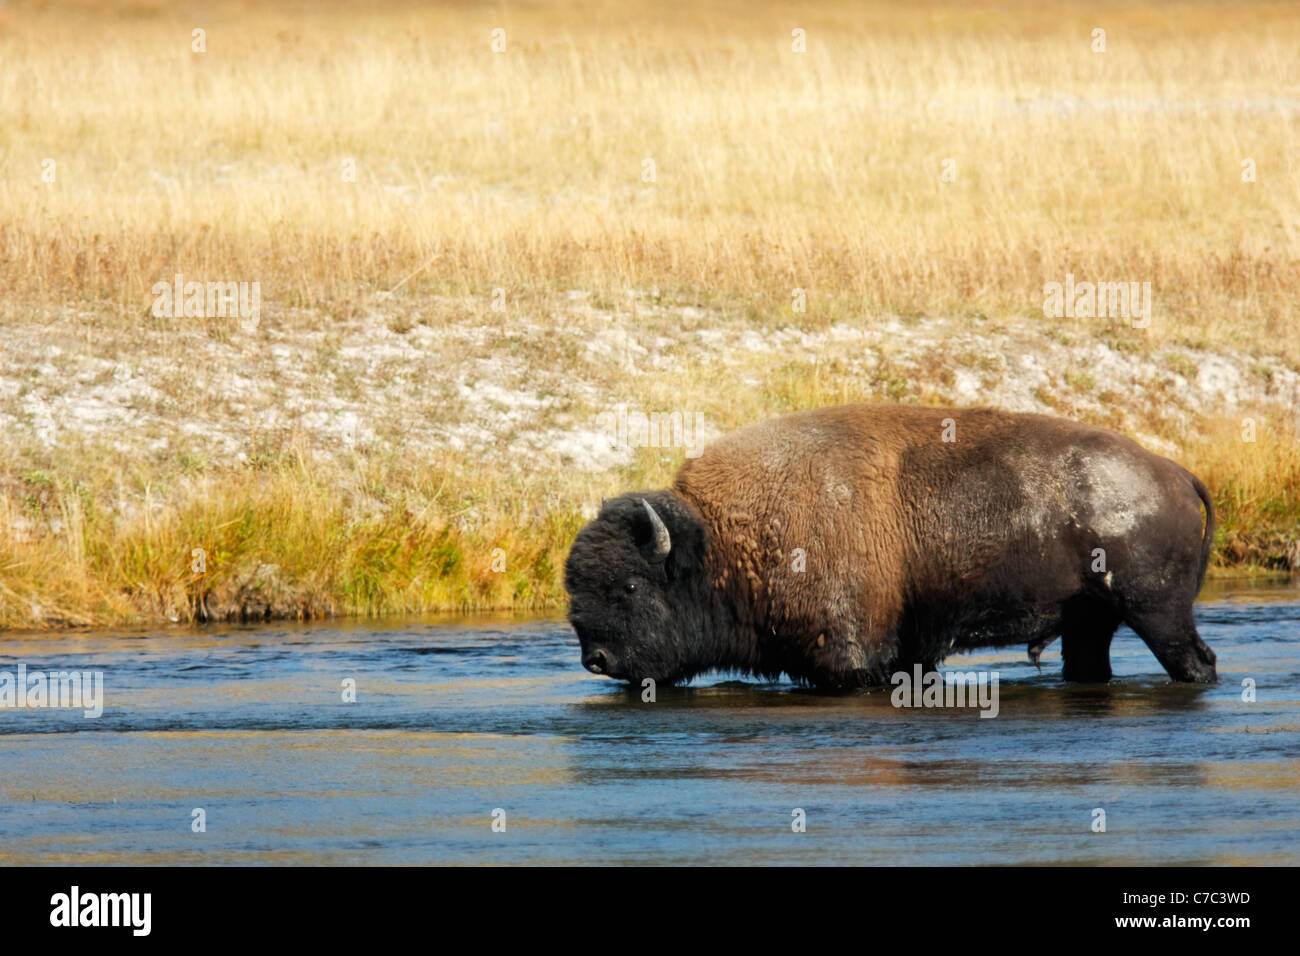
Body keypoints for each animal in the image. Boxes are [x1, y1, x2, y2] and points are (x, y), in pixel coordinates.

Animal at [564, 404, 1217, 689]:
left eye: (629, 584)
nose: (596, 659)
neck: (723, 542)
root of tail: (1175, 472)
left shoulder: (853, 659)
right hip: (1092, 621)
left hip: (1157, 612)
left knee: (1195, 661)